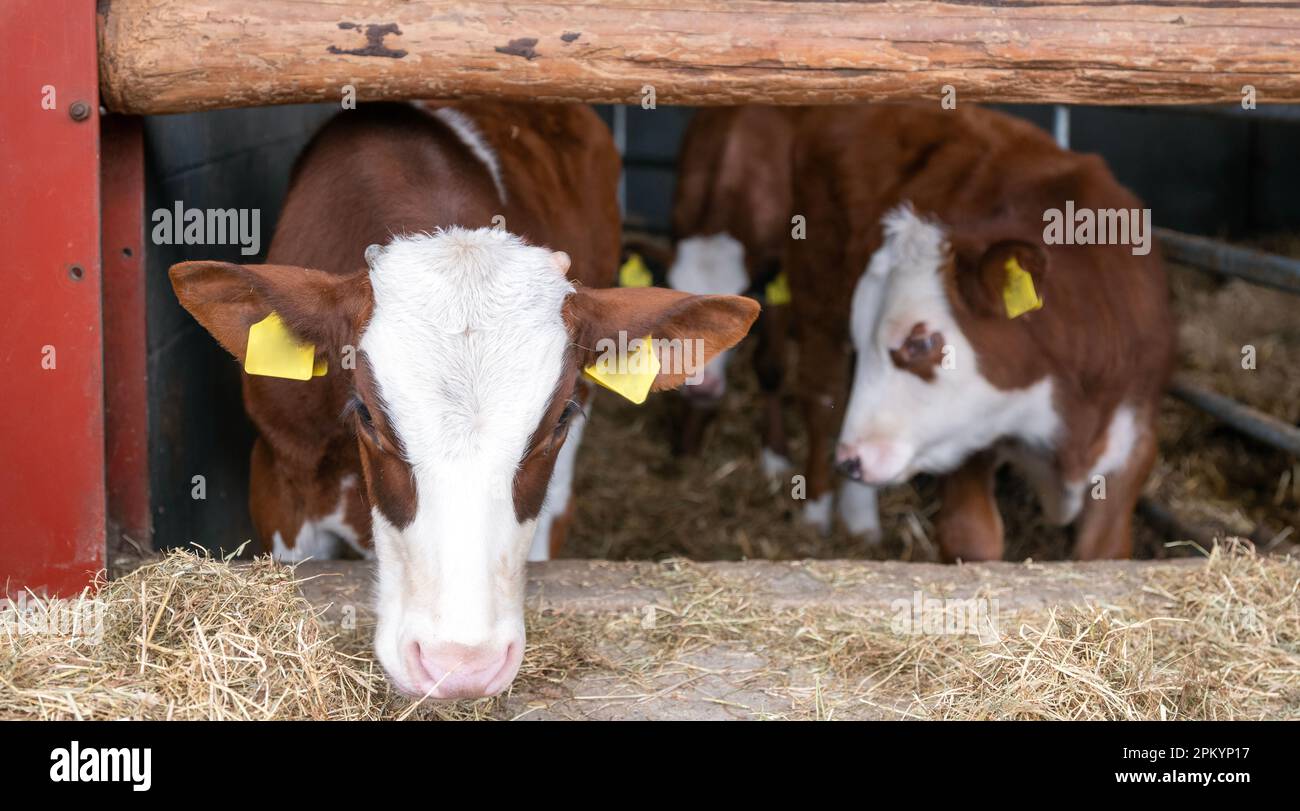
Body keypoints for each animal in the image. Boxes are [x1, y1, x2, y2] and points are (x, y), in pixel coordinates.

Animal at [786, 103, 1174, 560]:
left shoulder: (1134, 441)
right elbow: (972, 540)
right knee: (821, 397)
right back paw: (818, 513)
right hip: (815, 294)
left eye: (920, 342)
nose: (851, 459)